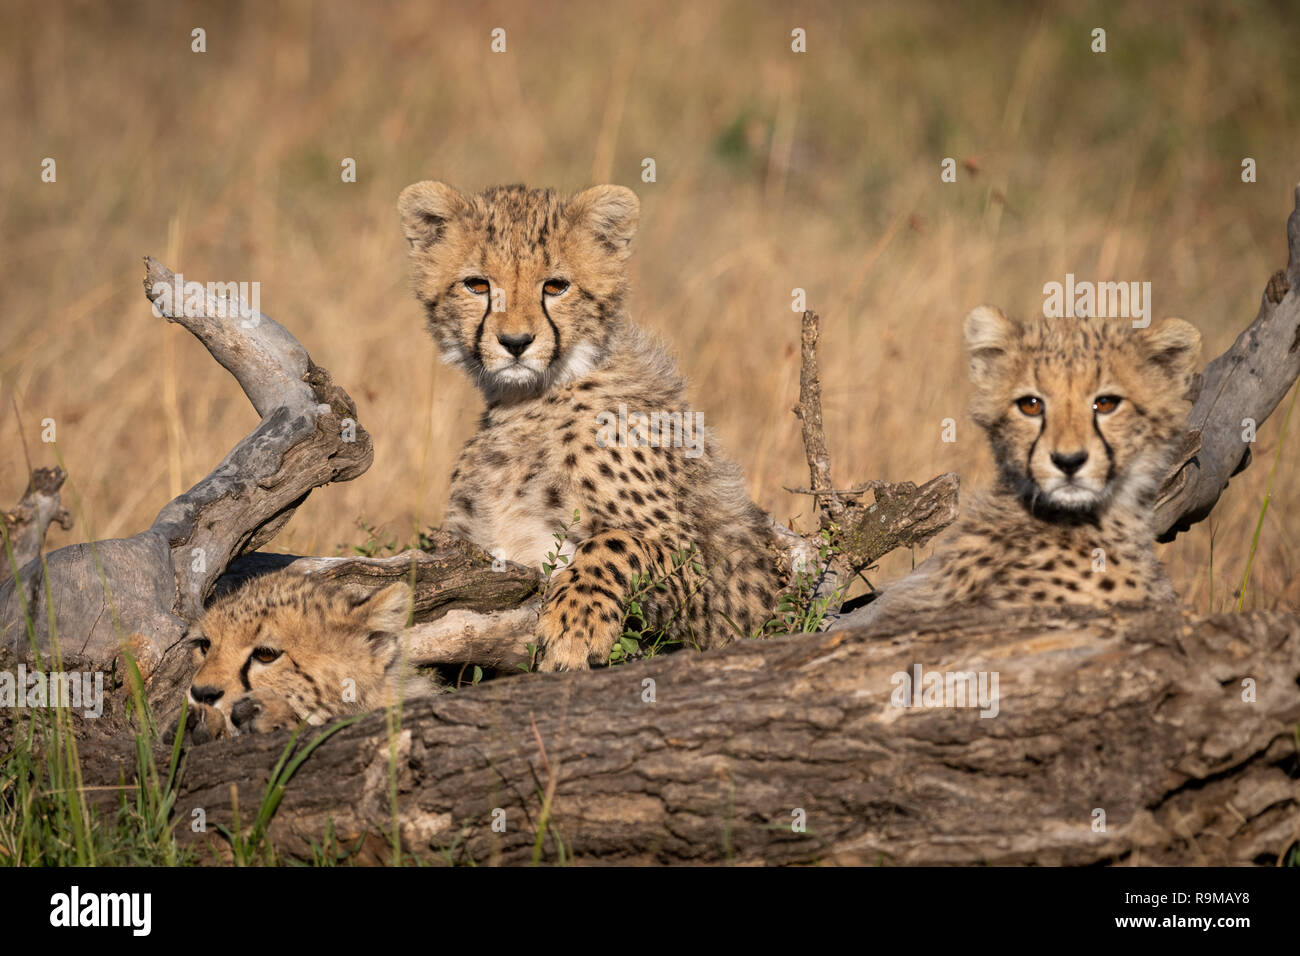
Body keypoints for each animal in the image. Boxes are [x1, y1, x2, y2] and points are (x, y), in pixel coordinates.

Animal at [397, 181, 786, 670]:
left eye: (556, 286)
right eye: (477, 285)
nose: (516, 342)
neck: (527, 403)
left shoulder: (713, 588)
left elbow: (615, 542)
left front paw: (575, 627)